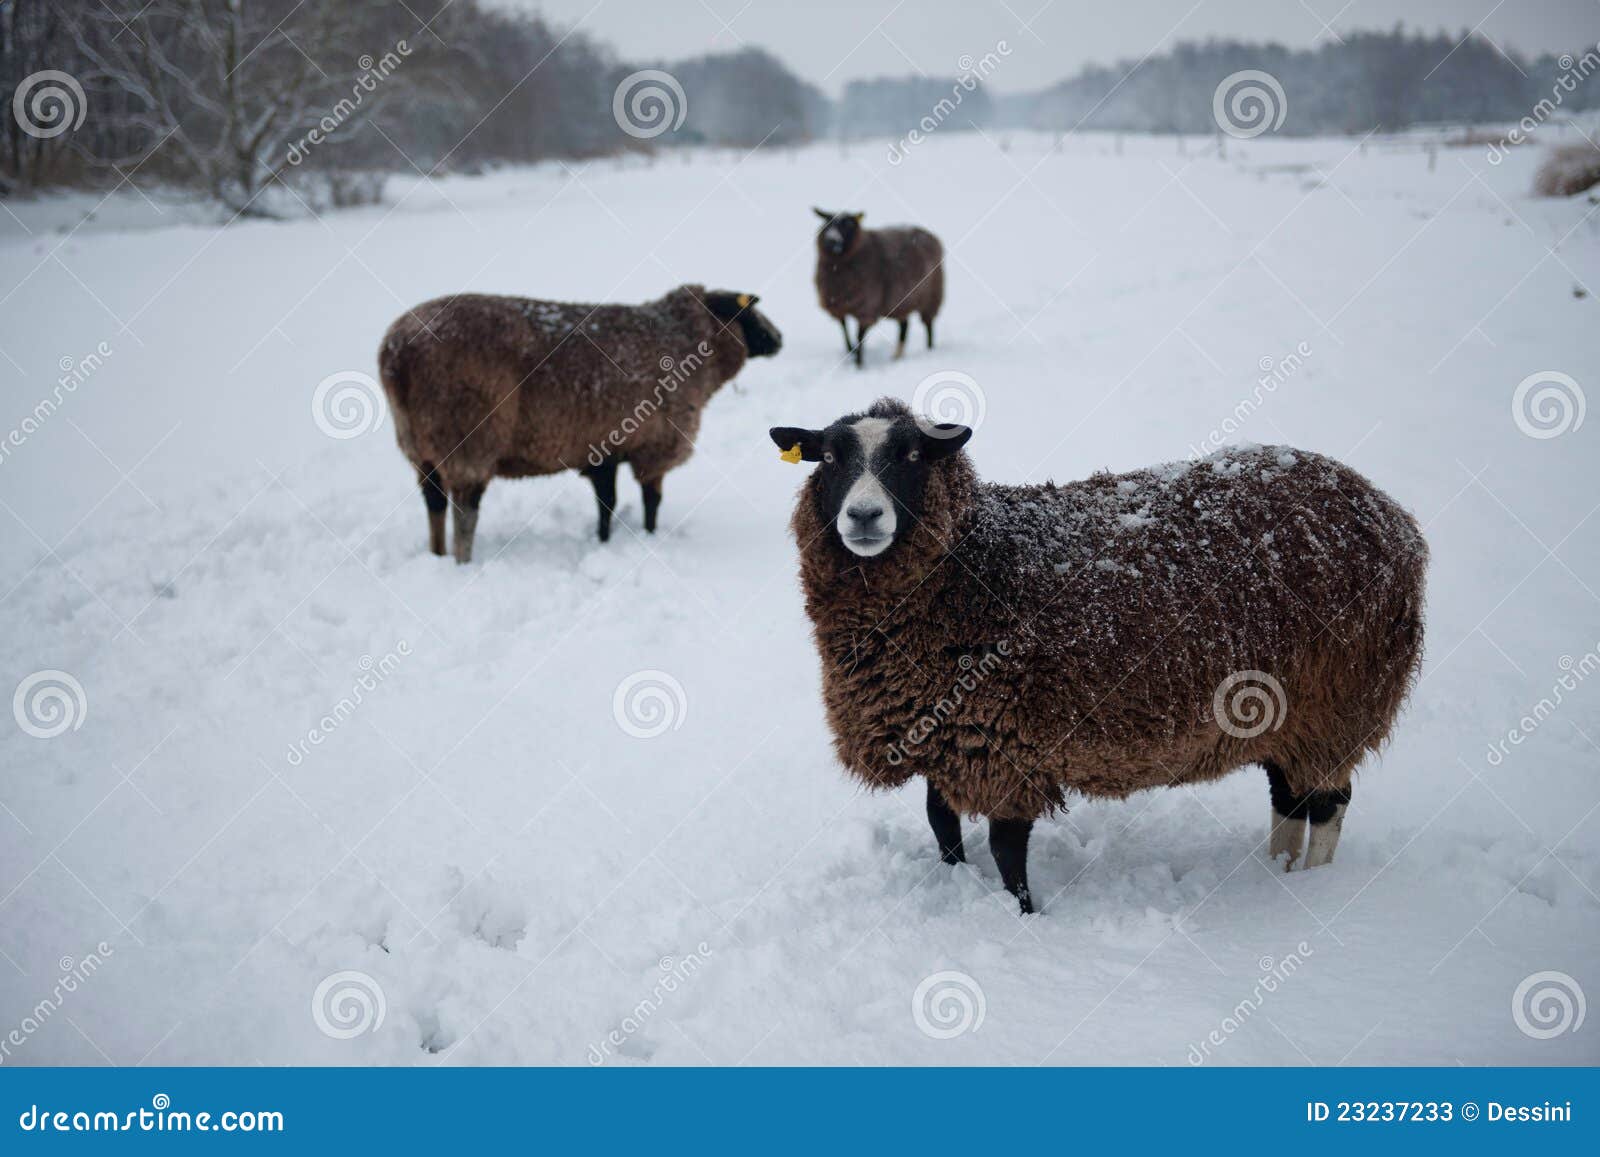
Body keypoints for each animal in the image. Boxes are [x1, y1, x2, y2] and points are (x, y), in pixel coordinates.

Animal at [379, 285, 781, 563]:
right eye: (748, 311)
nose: (779, 339)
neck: (691, 342)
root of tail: (396, 355)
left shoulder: (604, 447)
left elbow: (607, 502)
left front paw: (603, 540)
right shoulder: (654, 447)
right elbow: (651, 500)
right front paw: (651, 537)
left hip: (419, 446)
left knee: (434, 503)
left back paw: (437, 555)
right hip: (465, 438)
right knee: (465, 514)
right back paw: (463, 563)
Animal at [768, 398, 1427, 913]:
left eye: (911, 457)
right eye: (829, 459)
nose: (863, 516)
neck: (975, 567)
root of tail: (1387, 513)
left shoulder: (1008, 741)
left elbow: (1006, 849)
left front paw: (1024, 918)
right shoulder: (943, 730)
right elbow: (942, 823)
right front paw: (957, 884)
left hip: (1338, 699)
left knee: (1329, 804)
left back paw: (1315, 885)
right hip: (1281, 709)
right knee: (1289, 797)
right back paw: (1278, 875)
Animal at [812, 209, 943, 368]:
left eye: (848, 224)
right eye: (827, 223)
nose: (832, 240)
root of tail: (929, 234)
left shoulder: (867, 307)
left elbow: (859, 336)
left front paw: (859, 364)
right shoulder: (838, 306)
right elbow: (845, 331)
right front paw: (851, 353)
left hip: (931, 296)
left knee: (928, 325)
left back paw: (929, 350)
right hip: (901, 300)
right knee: (904, 325)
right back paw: (897, 356)